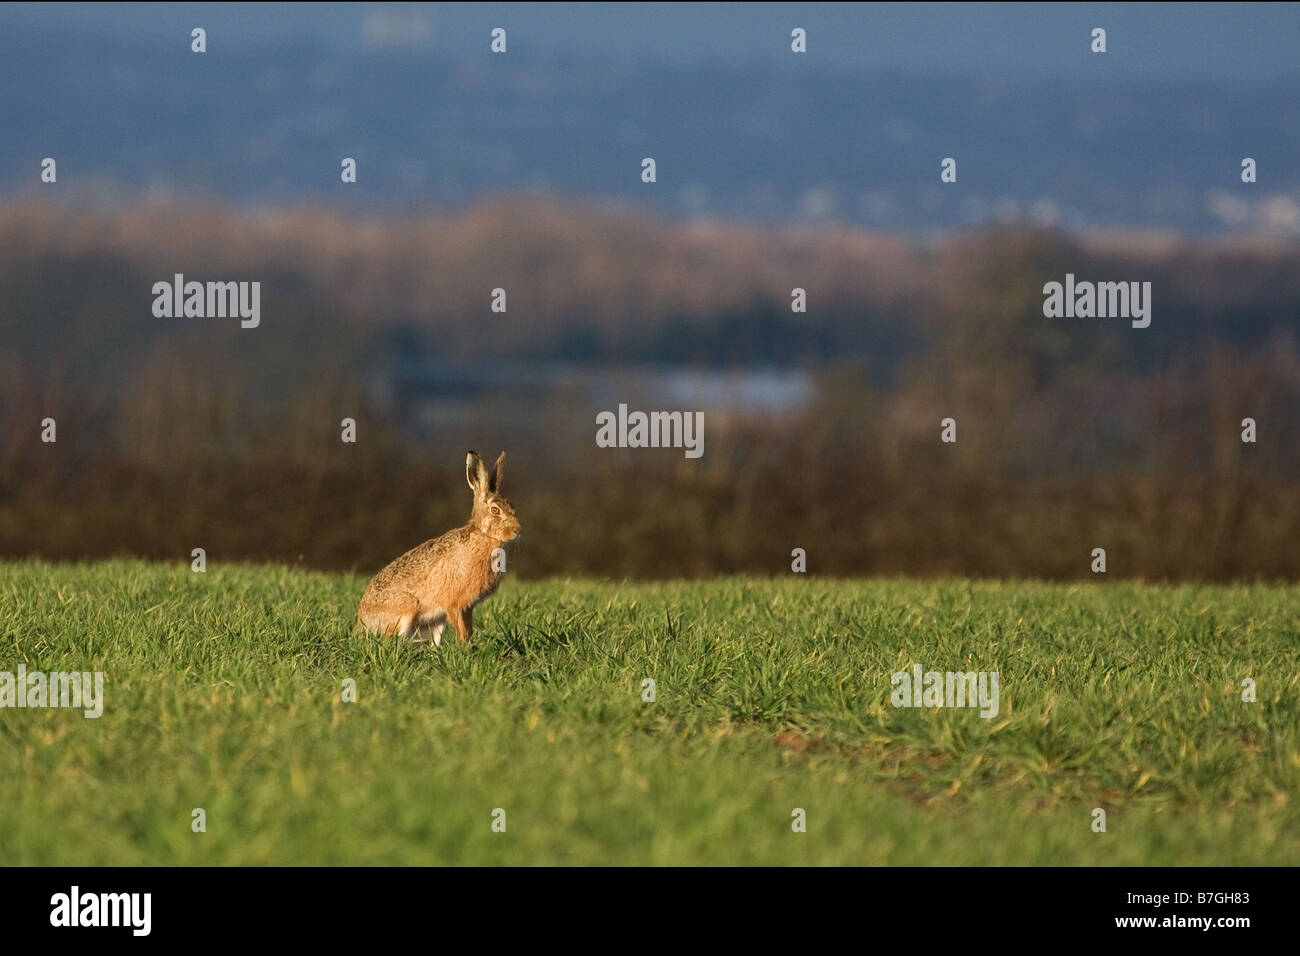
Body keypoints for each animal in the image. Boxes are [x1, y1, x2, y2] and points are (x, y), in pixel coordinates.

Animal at [357, 450, 520, 646]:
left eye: (512, 507)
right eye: (495, 510)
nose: (518, 530)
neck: (483, 535)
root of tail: (362, 622)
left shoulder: (468, 608)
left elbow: (469, 630)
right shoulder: (455, 604)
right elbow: (462, 630)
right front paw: (466, 649)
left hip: (434, 623)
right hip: (407, 609)